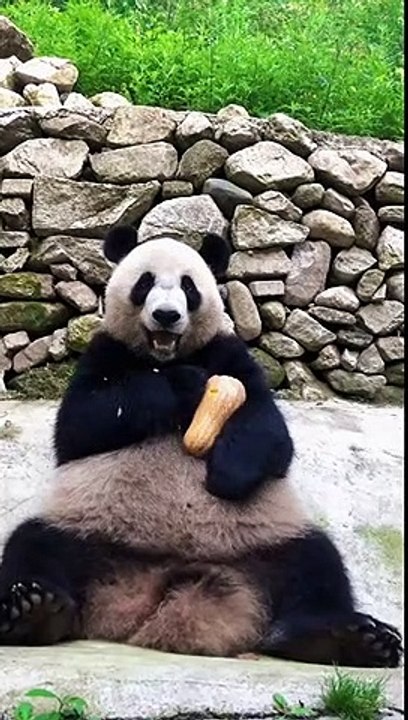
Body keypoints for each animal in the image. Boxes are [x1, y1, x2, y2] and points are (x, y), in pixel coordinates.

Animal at [0, 225, 403, 667]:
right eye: (145, 283)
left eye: (188, 287)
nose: (166, 316)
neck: (166, 356)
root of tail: (160, 584)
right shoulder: (104, 352)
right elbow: (80, 423)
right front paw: (187, 384)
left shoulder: (231, 354)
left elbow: (271, 433)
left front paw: (225, 473)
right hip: (85, 526)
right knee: (34, 546)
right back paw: (35, 610)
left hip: (265, 537)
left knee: (317, 566)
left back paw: (345, 638)